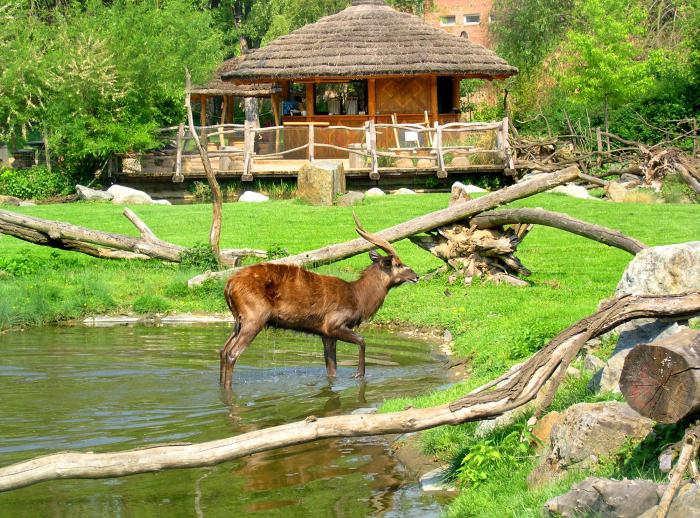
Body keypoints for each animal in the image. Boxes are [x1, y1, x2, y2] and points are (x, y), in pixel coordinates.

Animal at [219, 215, 418, 390]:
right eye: (398, 264)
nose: (416, 276)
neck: (358, 298)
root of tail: (229, 286)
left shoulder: (325, 334)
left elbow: (332, 369)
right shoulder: (333, 324)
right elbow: (362, 340)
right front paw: (358, 374)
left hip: (239, 320)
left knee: (223, 350)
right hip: (255, 317)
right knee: (232, 353)